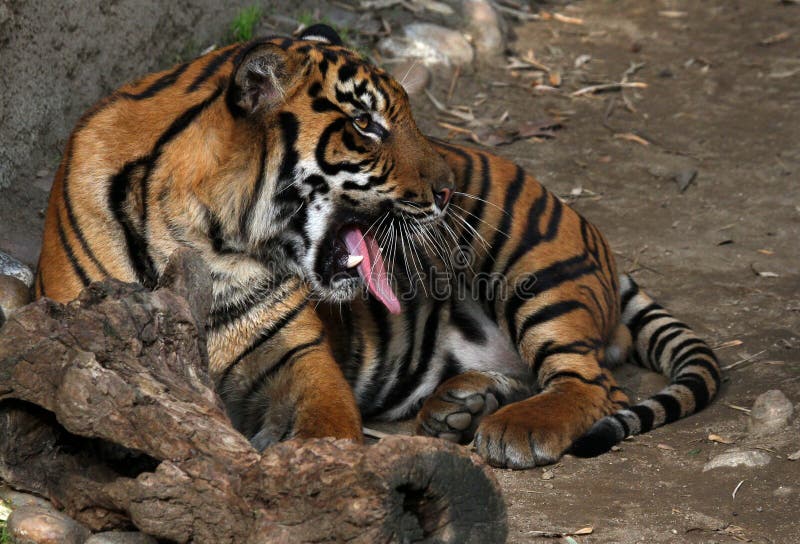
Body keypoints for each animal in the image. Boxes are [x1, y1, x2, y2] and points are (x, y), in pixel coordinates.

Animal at [33, 24, 721, 468]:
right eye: (366, 124)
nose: (445, 189)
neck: (210, 239)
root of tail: (591, 234)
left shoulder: (299, 356)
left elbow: (327, 425)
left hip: (530, 266)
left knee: (595, 383)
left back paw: (513, 430)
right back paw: (460, 406)